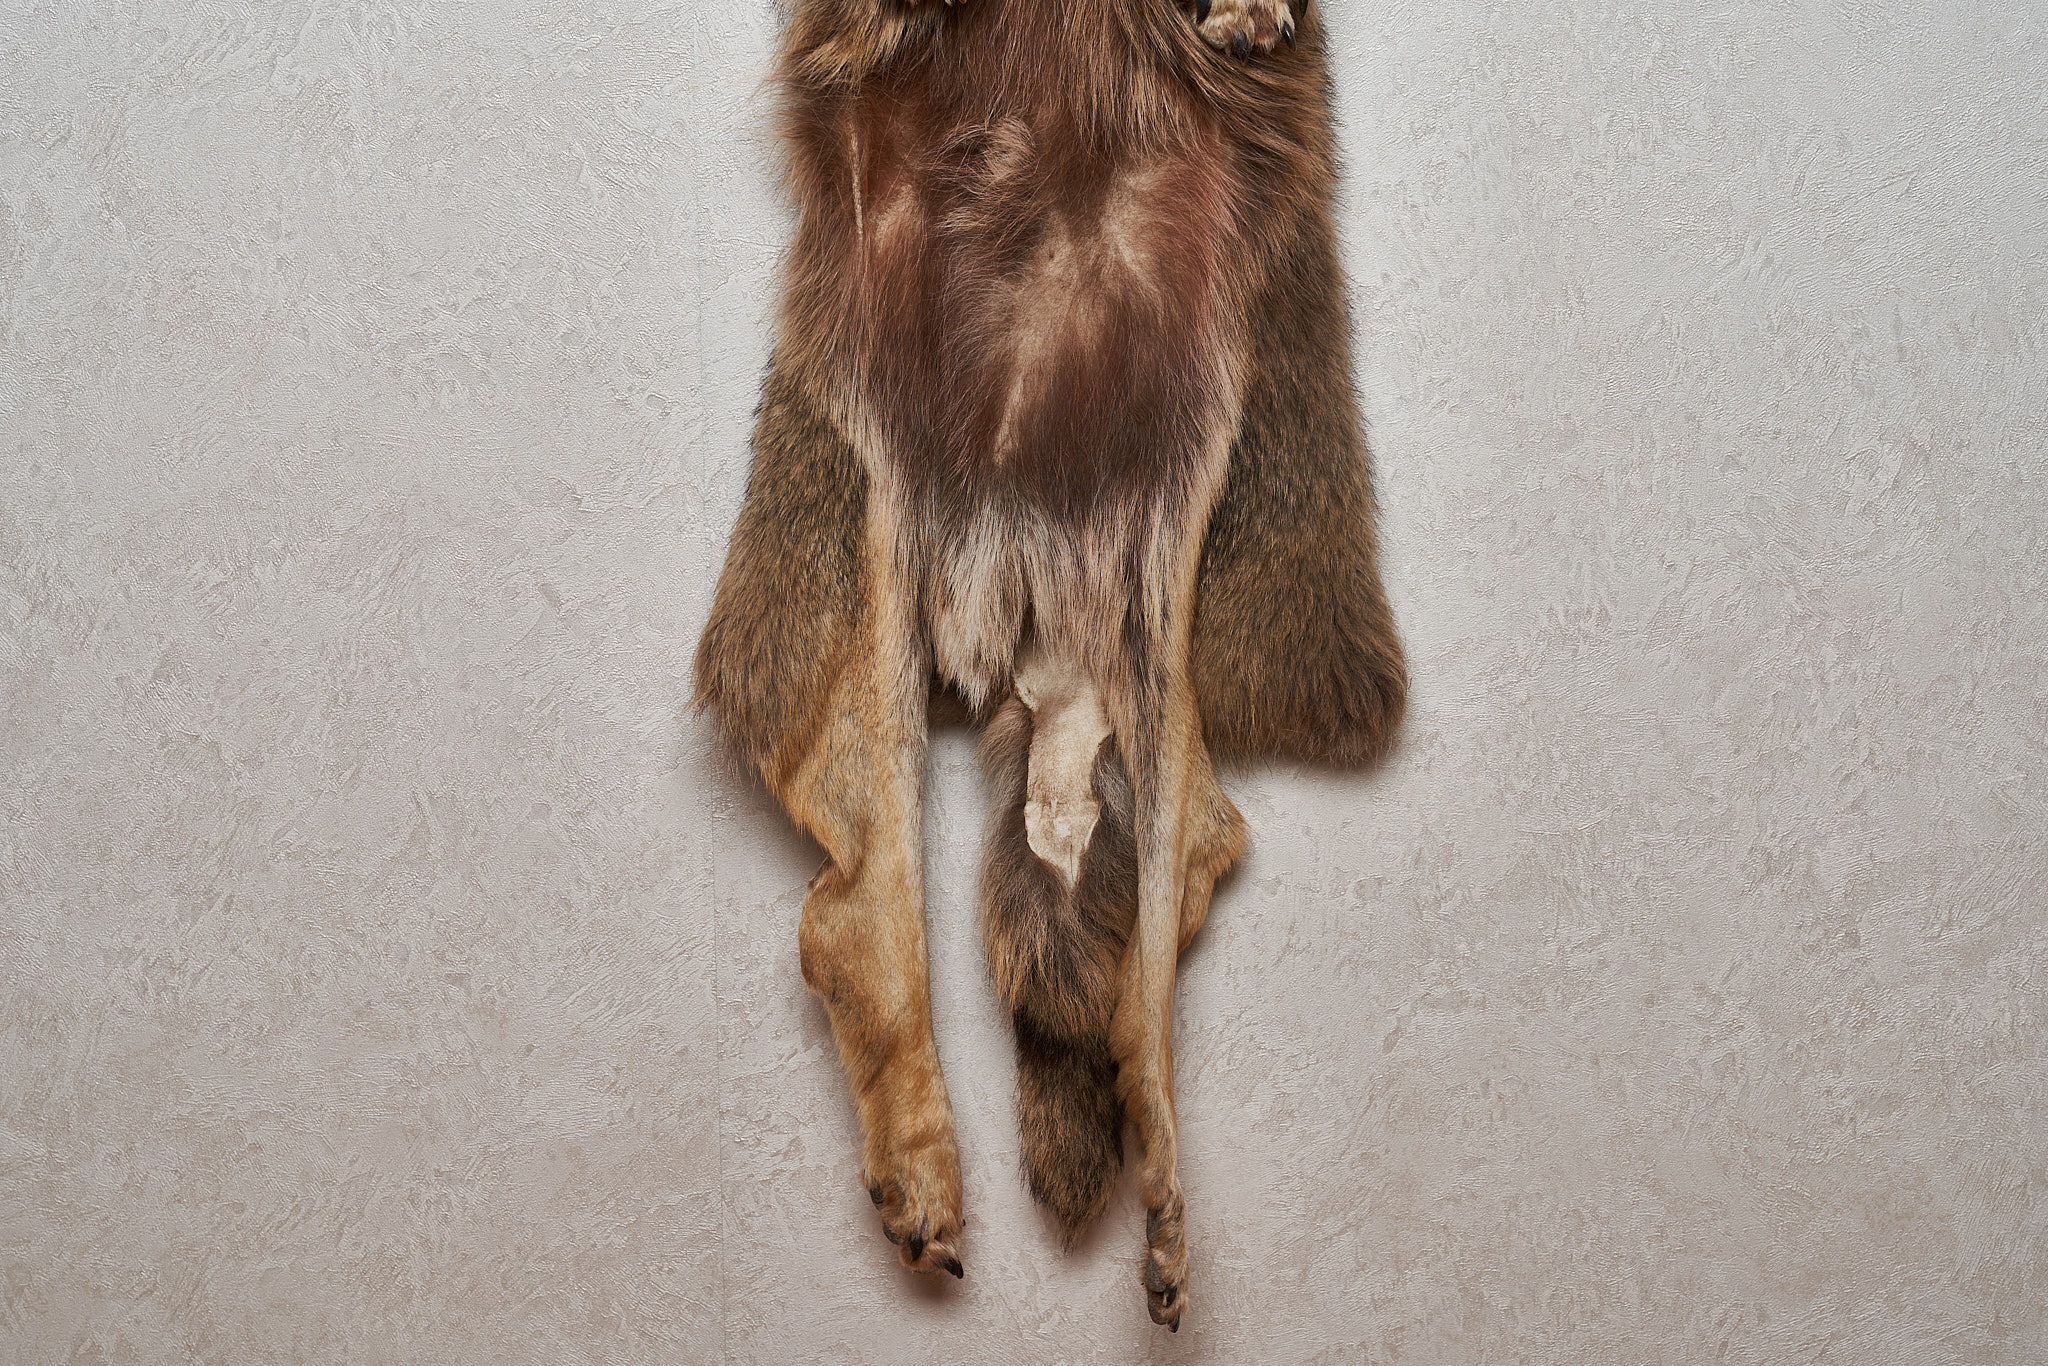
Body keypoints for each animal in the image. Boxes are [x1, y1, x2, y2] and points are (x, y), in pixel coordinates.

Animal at [695, 0, 1405, 1329]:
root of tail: (1026, 590)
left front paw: (1247, 20)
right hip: (871, 548)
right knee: (866, 917)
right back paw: (930, 1177)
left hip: (1157, 627)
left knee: (1147, 955)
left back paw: (1150, 1213)